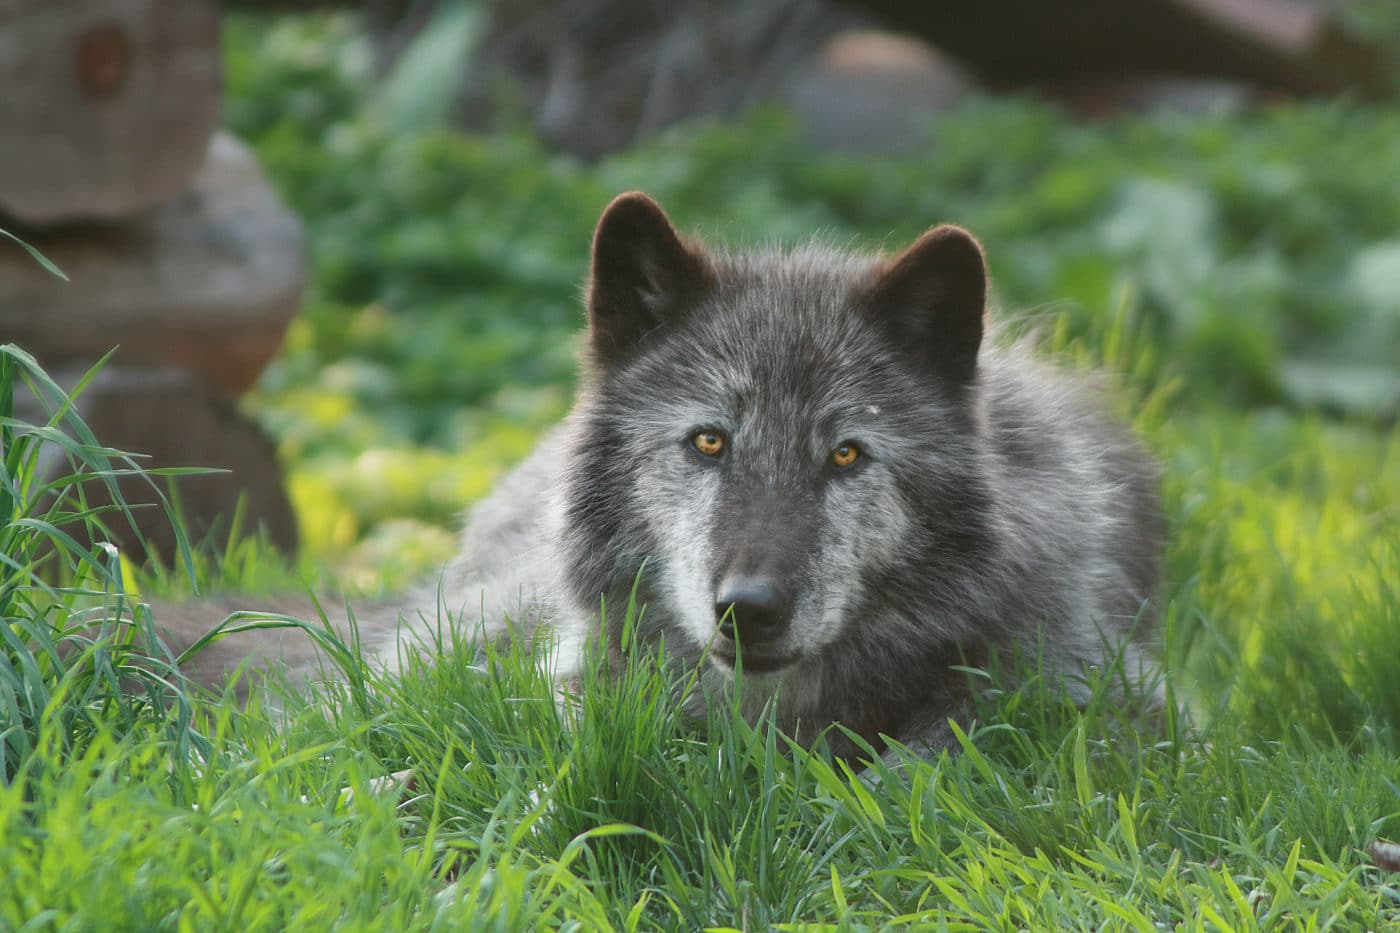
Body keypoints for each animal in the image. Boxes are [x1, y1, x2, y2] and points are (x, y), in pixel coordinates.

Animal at [162, 192, 1164, 761]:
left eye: (846, 454)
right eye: (709, 442)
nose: (747, 609)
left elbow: (938, 756)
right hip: (461, 636)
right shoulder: (578, 685)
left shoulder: (1111, 704)